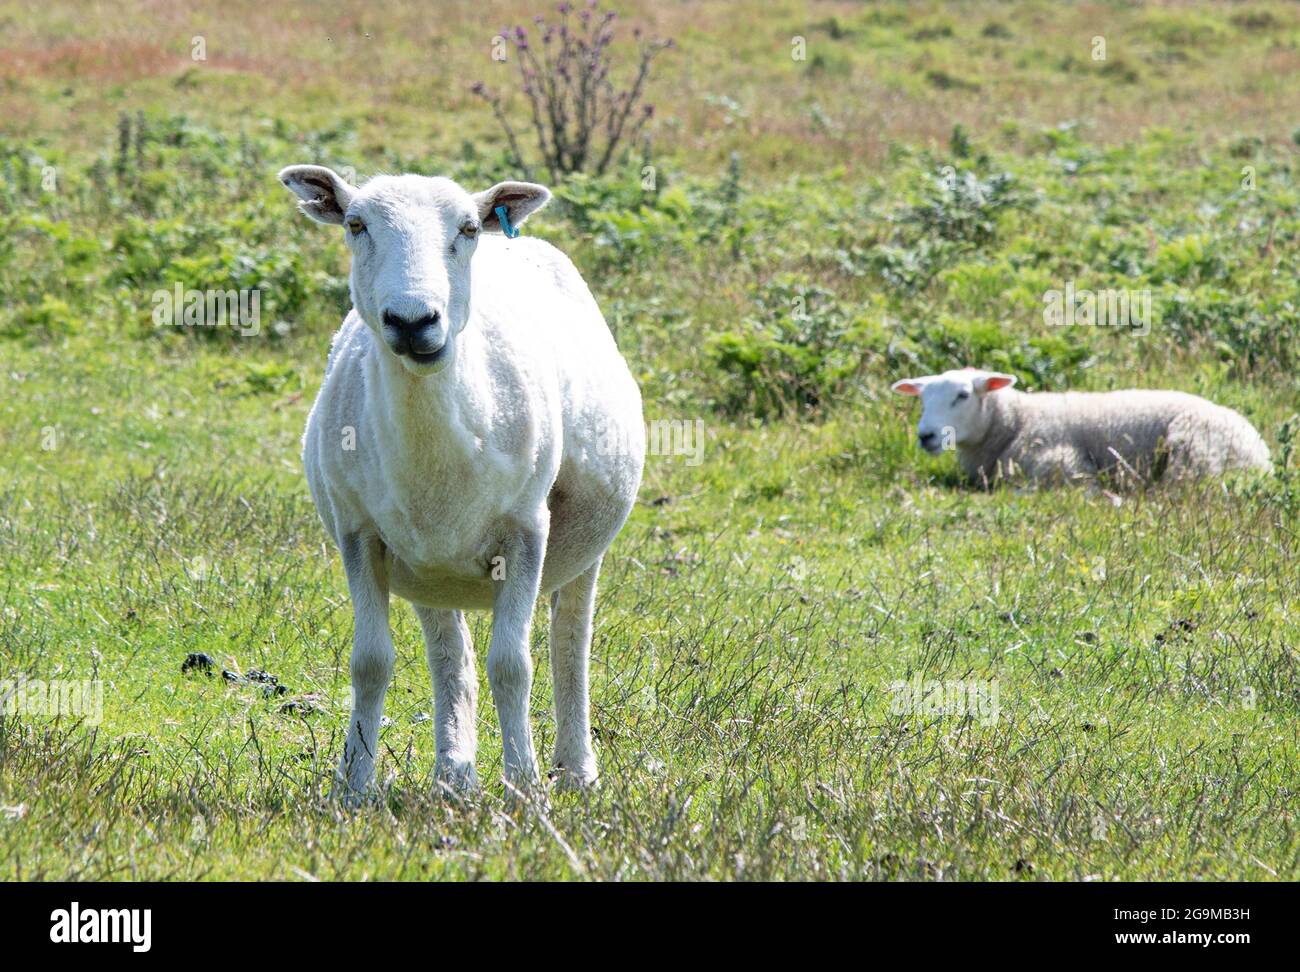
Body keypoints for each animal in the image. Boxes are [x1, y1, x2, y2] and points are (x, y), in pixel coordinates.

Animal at [278, 164, 645, 798]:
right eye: (356, 225)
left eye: (468, 228)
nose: (413, 321)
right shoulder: (358, 534)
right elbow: (370, 662)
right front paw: (352, 787)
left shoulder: (527, 532)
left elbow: (514, 664)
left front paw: (524, 786)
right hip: (427, 568)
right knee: (451, 652)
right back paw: (454, 773)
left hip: (583, 546)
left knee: (570, 641)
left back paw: (575, 769)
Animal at [891, 367, 1270, 487]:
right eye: (922, 398)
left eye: (963, 394)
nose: (926, 435)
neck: (1016, 421)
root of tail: (1261, 452)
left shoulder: (1066, 466)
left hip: (1193, 452)